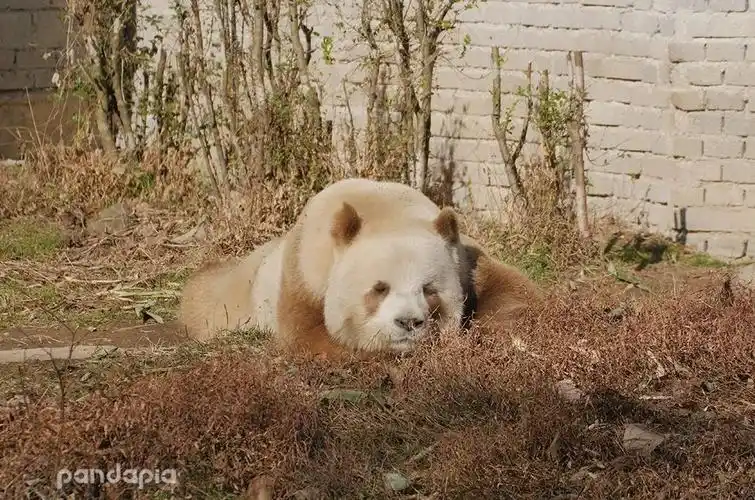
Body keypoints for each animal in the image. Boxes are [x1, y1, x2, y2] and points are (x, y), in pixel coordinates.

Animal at [177, 177, 541, 356]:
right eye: (379, 288)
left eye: (429, 290)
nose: (409, 323)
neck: (386, 212)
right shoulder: (306, 270)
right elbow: (311, 335)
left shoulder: (463, 258)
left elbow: (514, 295)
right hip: (235, 300)